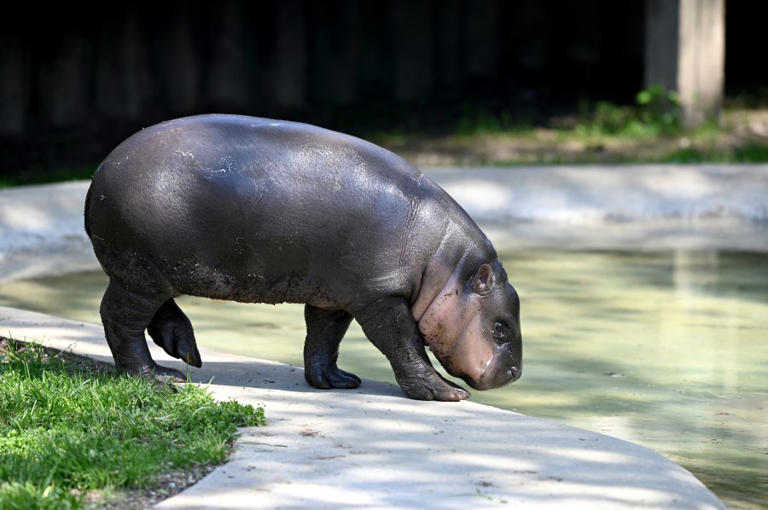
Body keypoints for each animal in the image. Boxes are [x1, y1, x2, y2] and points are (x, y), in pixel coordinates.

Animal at [84, 114, 521, 401]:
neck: (446, 265)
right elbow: (403, 342)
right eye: (500, 327)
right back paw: (160, 378)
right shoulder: (379, 295)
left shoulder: (337, 295)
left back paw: (186, 351)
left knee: (154, 311)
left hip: (150, 270)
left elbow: (324, 337)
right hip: (140, 270)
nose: (516, 373)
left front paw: (337, 381)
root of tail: (101, 170)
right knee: (120, 318)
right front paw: (445, 392)